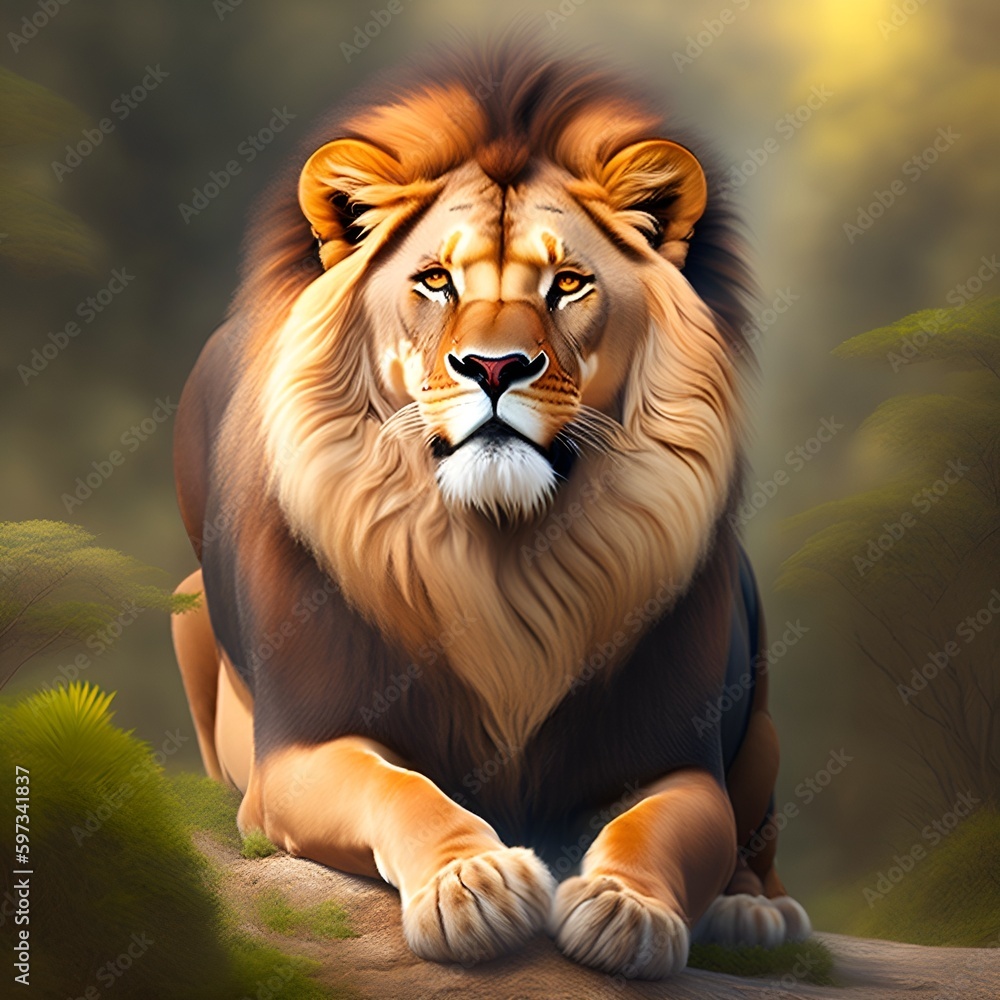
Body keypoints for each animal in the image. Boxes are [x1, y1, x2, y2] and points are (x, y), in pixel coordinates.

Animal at [171, 42, 811, 979]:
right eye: (435, 281)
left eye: (569, 283)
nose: (497, 366)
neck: (497, 555)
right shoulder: (295, 754)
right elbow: (398, 786)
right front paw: (471, 884)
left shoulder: (681, 755)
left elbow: (664, 824)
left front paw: (623, 907)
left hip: (762, 724)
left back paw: (756, 914)